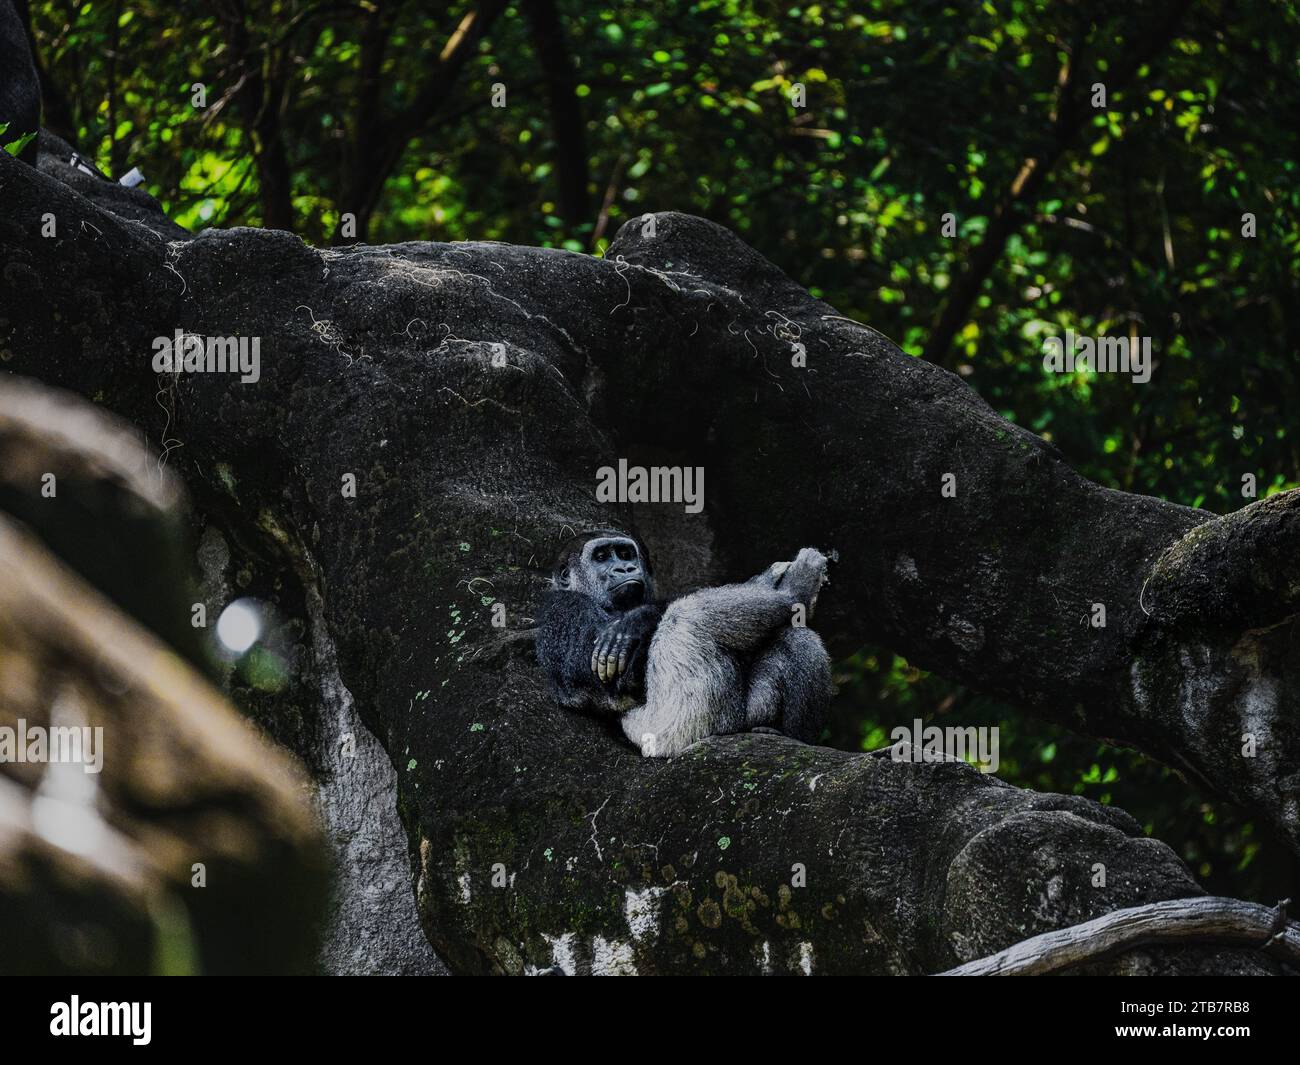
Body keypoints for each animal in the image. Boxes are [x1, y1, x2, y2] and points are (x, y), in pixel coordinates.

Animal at [536, 530, 832, 757]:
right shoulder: (564, 610)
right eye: (600, 557)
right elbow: (622, 679)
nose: (625, 568)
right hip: (687, 733)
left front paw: (636, 621)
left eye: (625, 554)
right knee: (688, 616)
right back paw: (796, 590)